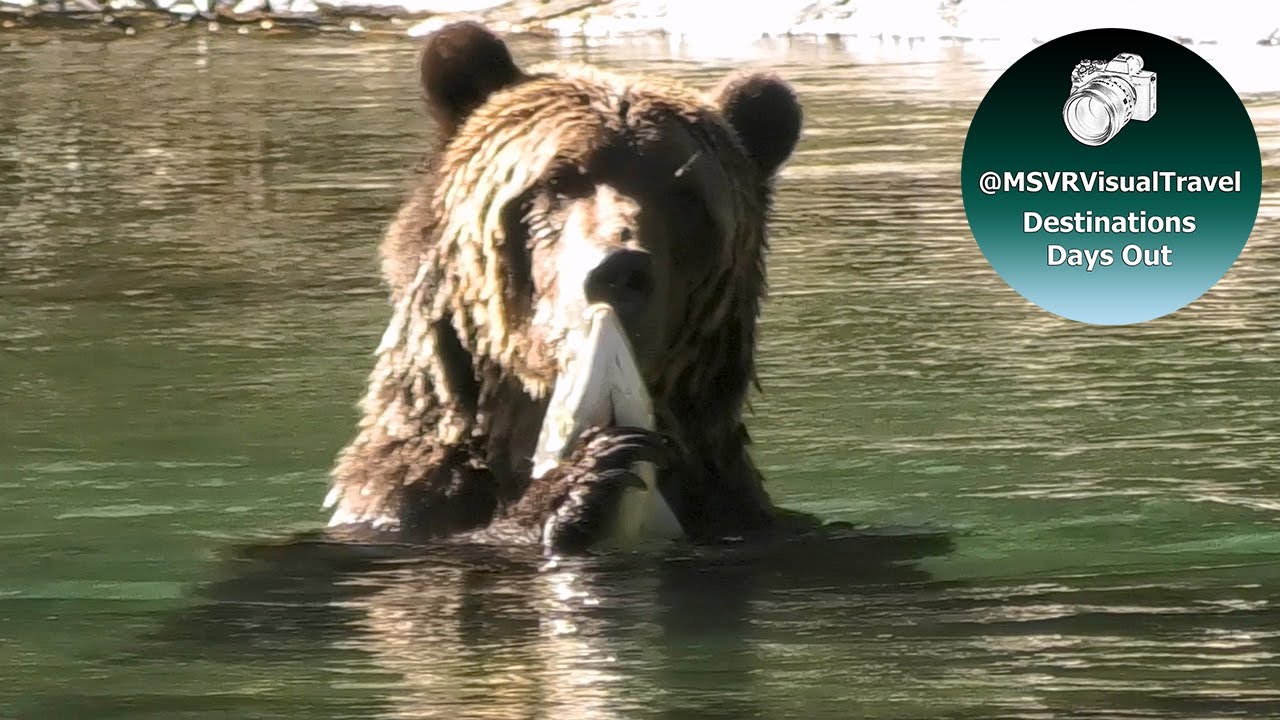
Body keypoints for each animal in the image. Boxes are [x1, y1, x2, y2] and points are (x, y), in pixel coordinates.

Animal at [323, 21, 811, 555]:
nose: (619, 269)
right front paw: (583, 477)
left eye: (686, 195)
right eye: (557, 179)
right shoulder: (400, 508)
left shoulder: (735, 511)